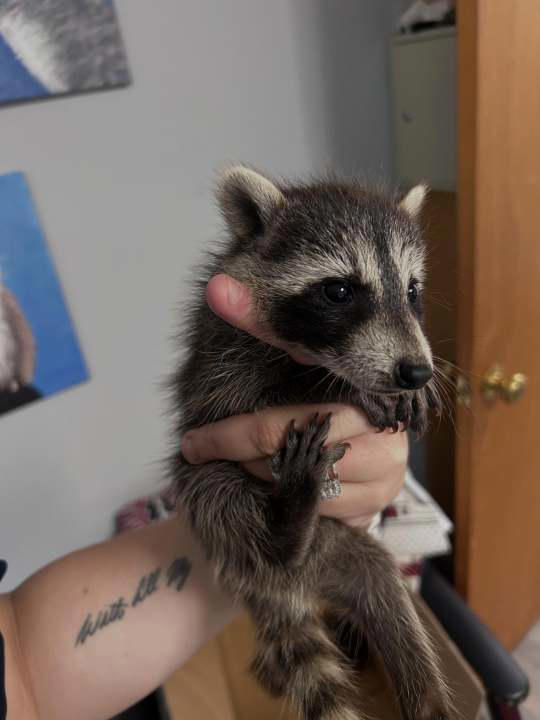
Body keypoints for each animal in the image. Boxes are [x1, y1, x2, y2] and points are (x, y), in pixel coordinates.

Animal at [170, 167, 450, 720]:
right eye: (339, 290)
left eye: (412, 290)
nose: (415, 372)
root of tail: (291, 586)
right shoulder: (217, 359)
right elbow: (243, 395)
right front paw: (345, 387)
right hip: (202, 472)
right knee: (214, 494)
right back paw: (283, 532)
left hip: (347, 552)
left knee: (389, 597)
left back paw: (428, 699)